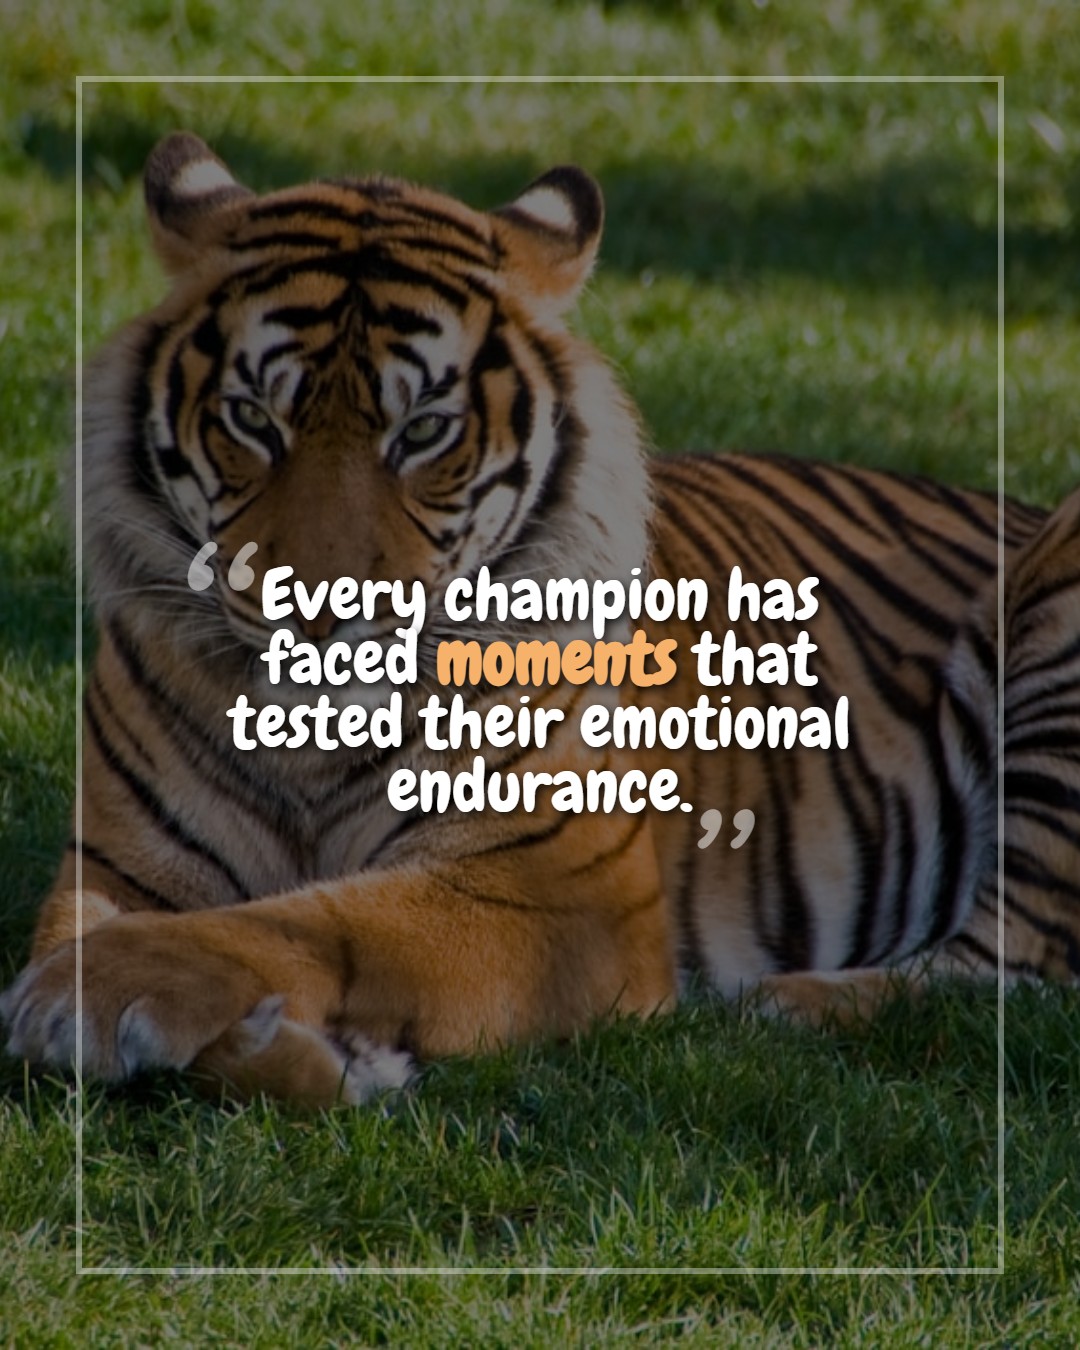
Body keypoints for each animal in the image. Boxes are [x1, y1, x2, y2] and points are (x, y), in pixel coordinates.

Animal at [2, 133, 1078, 1108]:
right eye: (253, 422)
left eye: (424, 431)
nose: (318, 616)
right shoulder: (116, 858)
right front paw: (302, 1054)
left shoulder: (556, 892)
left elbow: (315, 922)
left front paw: (95, 994)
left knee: (1012, 971)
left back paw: (782, 1002)